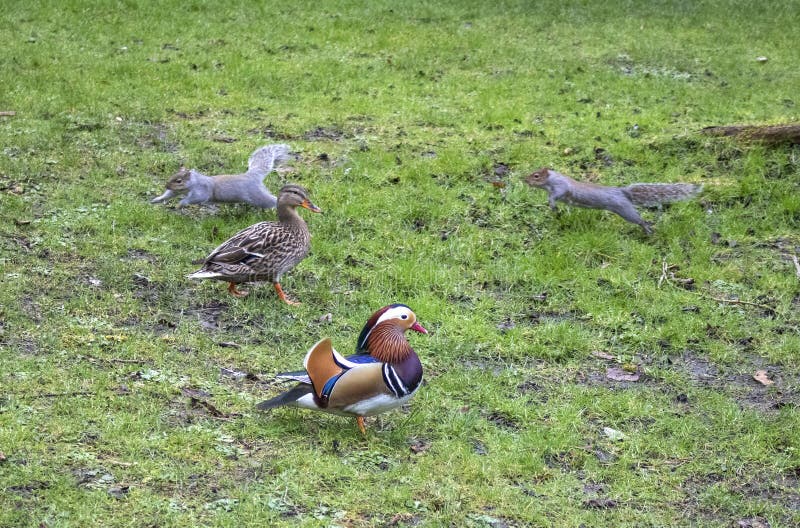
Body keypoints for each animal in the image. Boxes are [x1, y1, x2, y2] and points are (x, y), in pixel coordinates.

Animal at [151, 143, 291, 208]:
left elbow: (196, 198)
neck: (193, 182)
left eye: (179, 180)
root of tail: (251, 176)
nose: (166, 185)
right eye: (172, 176)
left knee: (270, 200)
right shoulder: (176, 191)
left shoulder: (201, 190)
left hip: (256, 195)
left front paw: (181, 203)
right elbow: (169, 195)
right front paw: (156, 199)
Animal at [524, 167, 702, 234]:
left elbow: (554, 196)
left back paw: (646, 228)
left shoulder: (561, 187)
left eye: (536, 176)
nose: (524, 179)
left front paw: (552, 204)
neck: (552, 179)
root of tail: (622, 192)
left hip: (625, 210)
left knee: (639, 220)